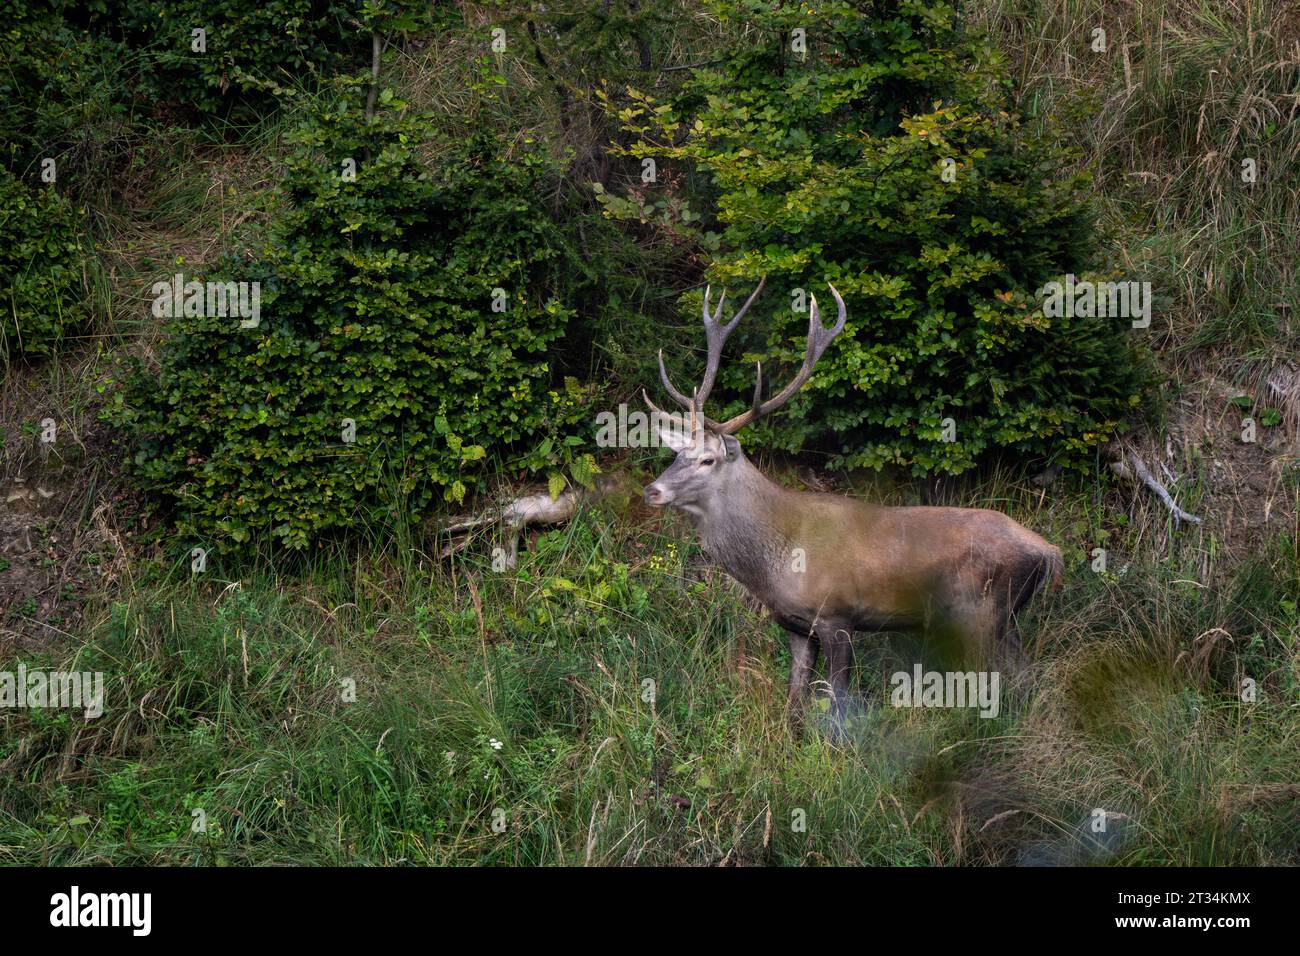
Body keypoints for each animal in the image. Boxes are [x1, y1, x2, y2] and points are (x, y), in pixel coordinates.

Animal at [641, 278, 1063, 736]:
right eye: (676, 455)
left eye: (707, 459)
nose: (652, 491)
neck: (778, 559)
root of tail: (1048, 550)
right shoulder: (796, 626)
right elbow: (794, 698)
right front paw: (793, 737)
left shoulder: (838, 615)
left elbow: (836, 701)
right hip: (1003, 617)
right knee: (1025, 674)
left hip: (986, 609)